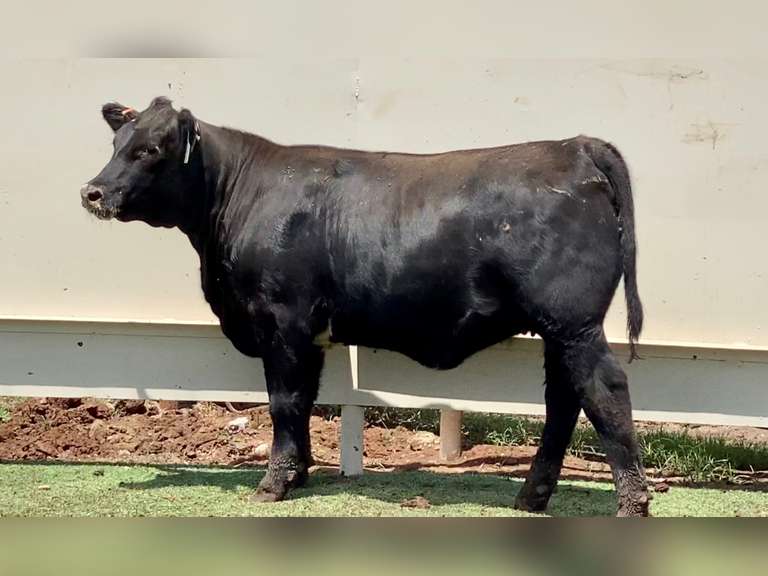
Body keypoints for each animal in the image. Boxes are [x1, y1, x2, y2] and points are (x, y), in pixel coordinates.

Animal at [81, 97, 649, 516]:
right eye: (116, 143)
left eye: (151, 149)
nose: (92, 192)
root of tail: (573, 146)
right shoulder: (307, 333)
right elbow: (304, 401)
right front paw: (299, 474)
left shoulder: (282, 322)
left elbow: (283, 402)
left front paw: (272, 484)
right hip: (558, 329)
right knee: (564, 402)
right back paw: (531, 497)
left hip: (574, 322)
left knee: (606, 392)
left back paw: (630, 504)